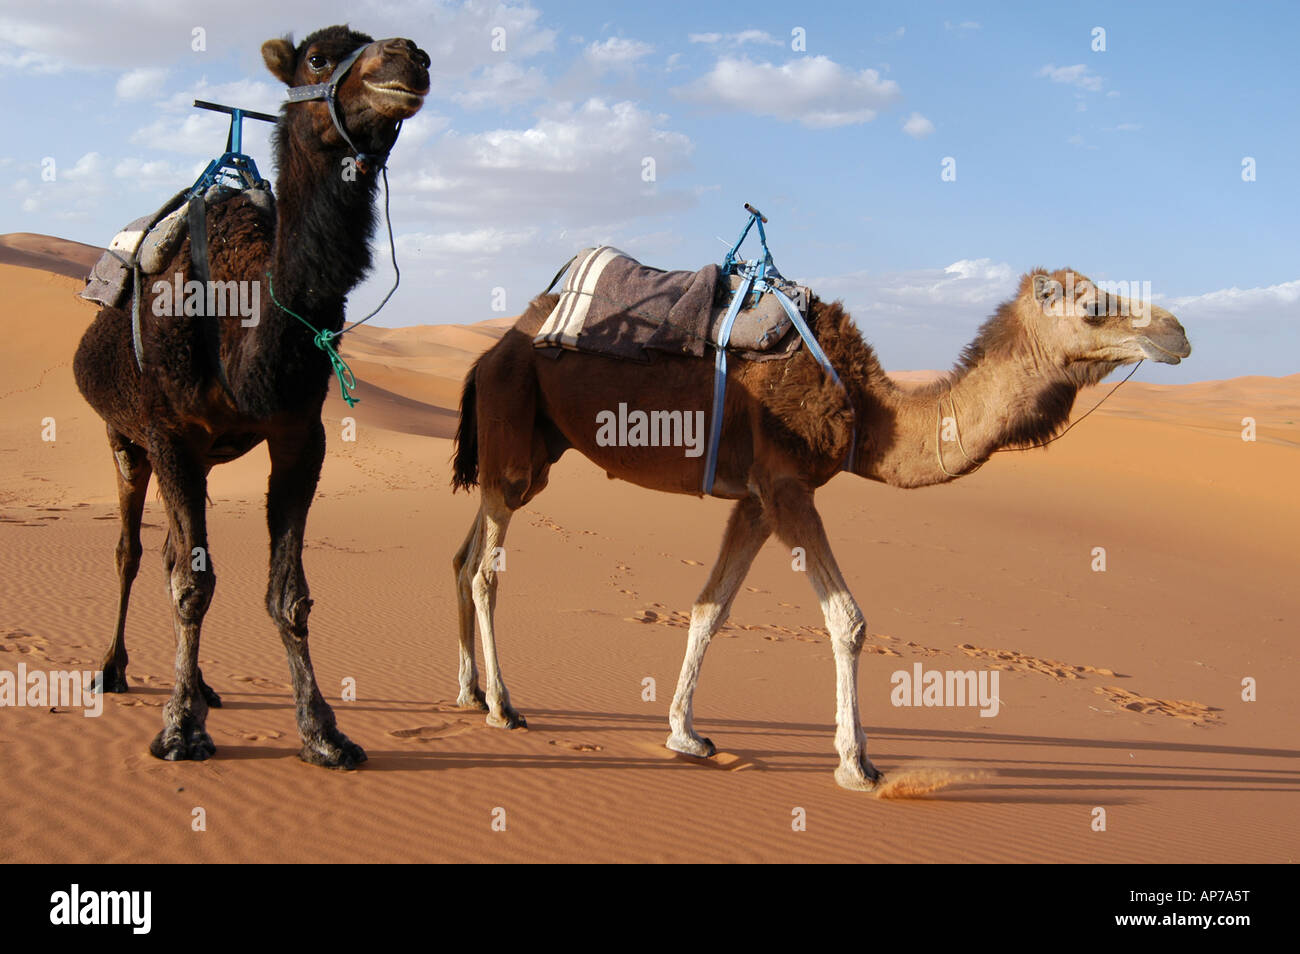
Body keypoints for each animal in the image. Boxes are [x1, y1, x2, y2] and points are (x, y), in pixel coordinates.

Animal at [72, 26, 429, 766]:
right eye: (319, 56)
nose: (411, 56)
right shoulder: (168, 434)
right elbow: (192, 584)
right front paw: (179, 729)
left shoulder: (299, 435)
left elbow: (286, 593)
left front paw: (322, 731)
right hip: (125, 440)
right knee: (132, 552)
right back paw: (115, 669)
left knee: (173, 553)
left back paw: (204, 686)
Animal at [450, 266, 1191, 790]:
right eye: (1090, 303)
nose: (1177, 330)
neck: (868, 410)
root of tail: (488, 354)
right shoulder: (788, 487)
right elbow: (849, 620)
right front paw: (857, 764)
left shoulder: (754, 500)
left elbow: (710, 608)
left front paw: (686, 734)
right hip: (514, 430)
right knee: (486, 569)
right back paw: (503, 706)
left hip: (532, 448)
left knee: (463, 554)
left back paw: (468, 690)